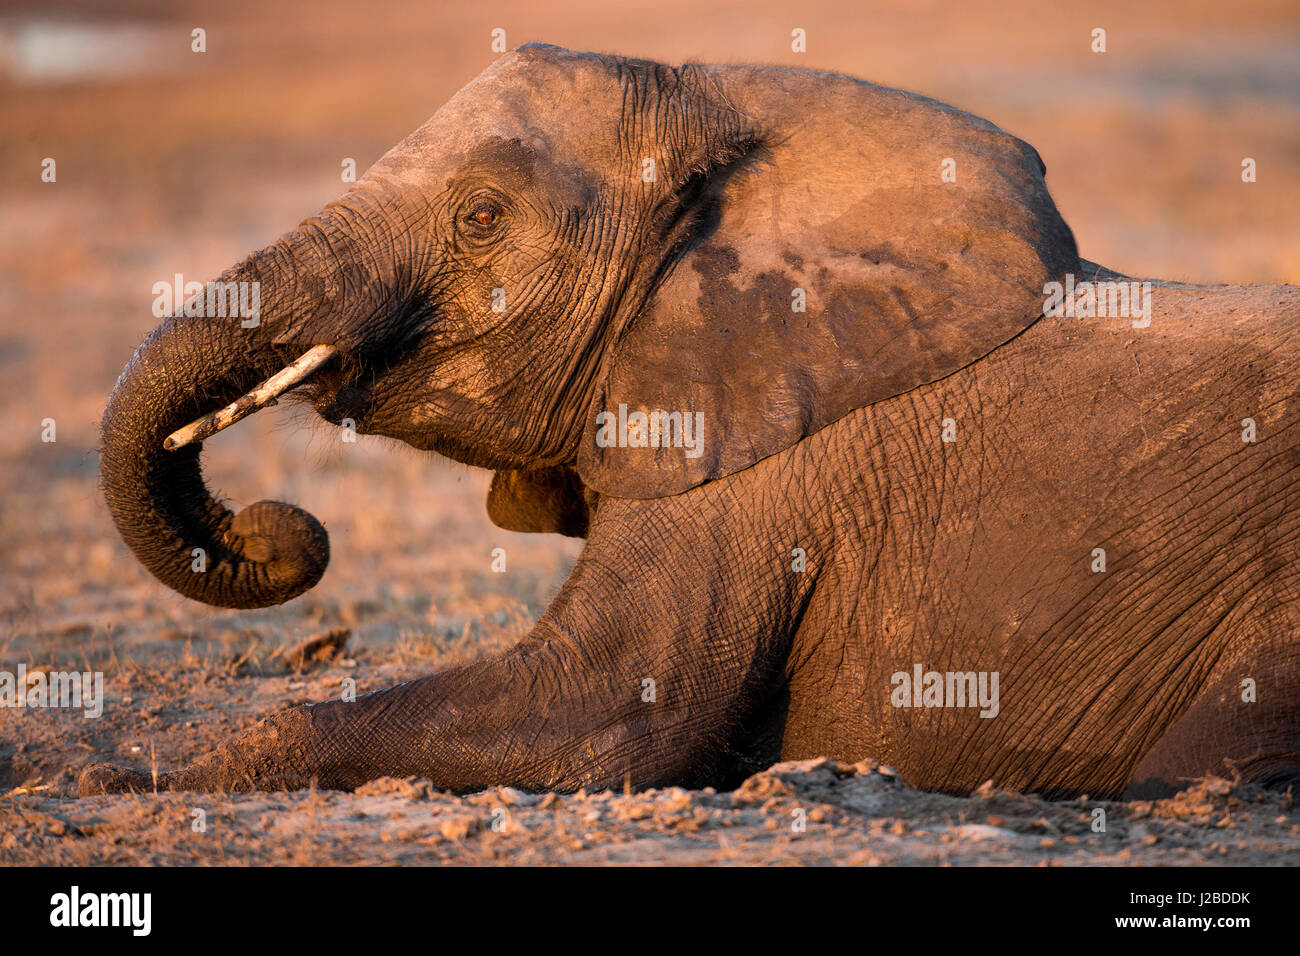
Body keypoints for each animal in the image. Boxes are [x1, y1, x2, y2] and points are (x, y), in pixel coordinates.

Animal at [83, 44, 1300, 801]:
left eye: (480, 218)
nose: (270, 526)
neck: (728, 104)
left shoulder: (758, 469)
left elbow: (599, 713)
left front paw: (111, 779)